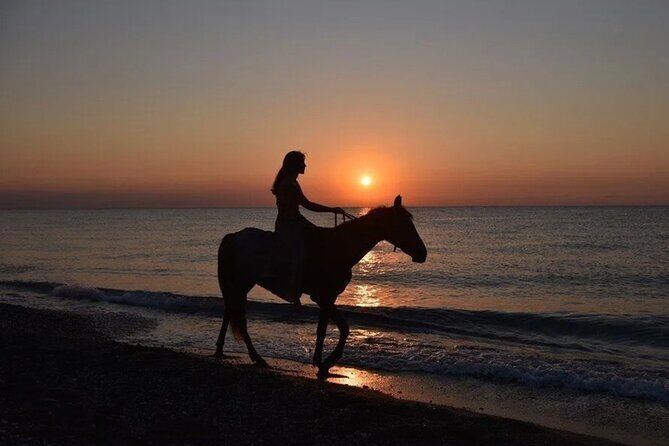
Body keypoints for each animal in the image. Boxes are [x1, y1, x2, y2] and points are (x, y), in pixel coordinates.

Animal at [214, 195, 427, 377]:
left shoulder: (327, 298)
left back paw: (221, 350)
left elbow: (323, 329)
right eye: (405, 224)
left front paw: (319, 361)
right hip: (241, 283)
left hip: (240, 284)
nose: (423, 253)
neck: (339, 247)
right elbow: (342, 328)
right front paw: (327, 363)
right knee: (238, 317)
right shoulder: (323, 297)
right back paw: (256, 357)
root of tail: (233, 237)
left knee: (230, 311)